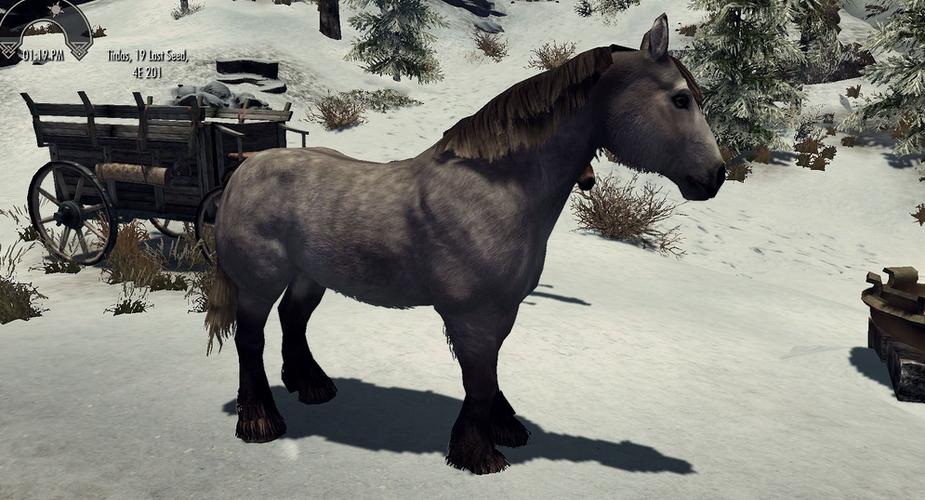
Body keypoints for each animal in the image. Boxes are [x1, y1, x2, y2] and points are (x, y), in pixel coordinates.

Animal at [204, 13, 726, 475]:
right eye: (681, 100)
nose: (715, 177)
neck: (499, 188)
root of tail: (245, 168)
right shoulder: (471, 314)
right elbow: (478, 380)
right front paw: (478, 454)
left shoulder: (502, 309)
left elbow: (490, 375)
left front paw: (504, 428)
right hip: (258, 282)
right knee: (251, 340)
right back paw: (260, 421)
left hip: (310, 276)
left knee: (293, 321)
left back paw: (311, 387)